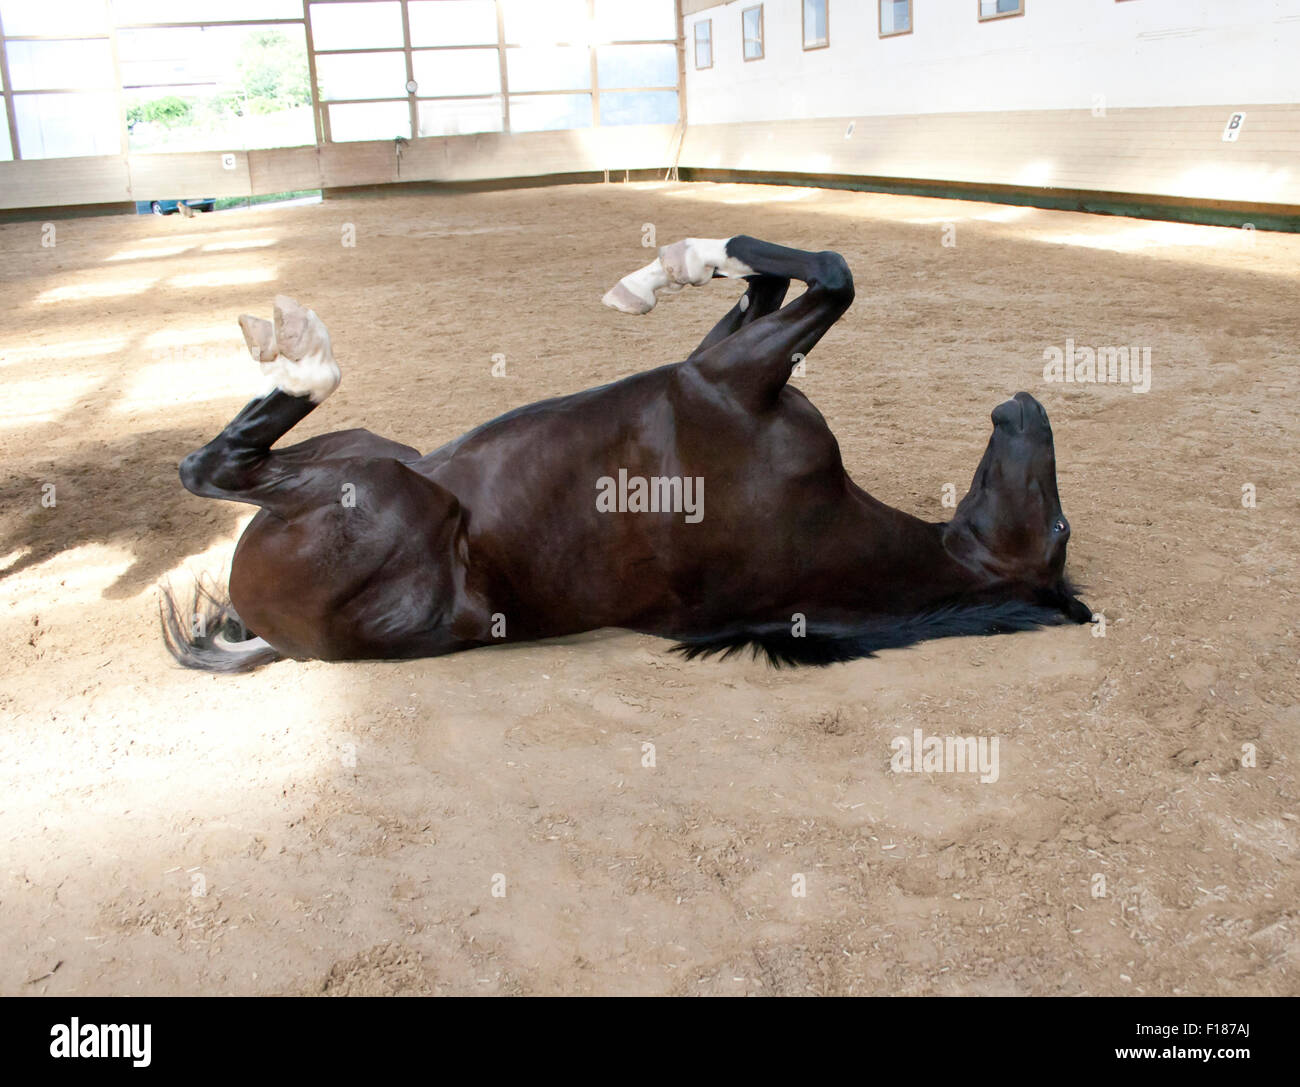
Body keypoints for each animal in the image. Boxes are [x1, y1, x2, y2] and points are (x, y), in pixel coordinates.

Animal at [162, 234, 1091, 674]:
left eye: (1061, 528)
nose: (1027, 405)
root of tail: (279, 636)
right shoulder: (721, 359)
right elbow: (768, 286)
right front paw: (671, 274)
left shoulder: (723, 375)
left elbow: (832, 271)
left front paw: (681, 264)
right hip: (388, 453)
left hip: (390, 490)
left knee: (216, 469)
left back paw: (301, 353)